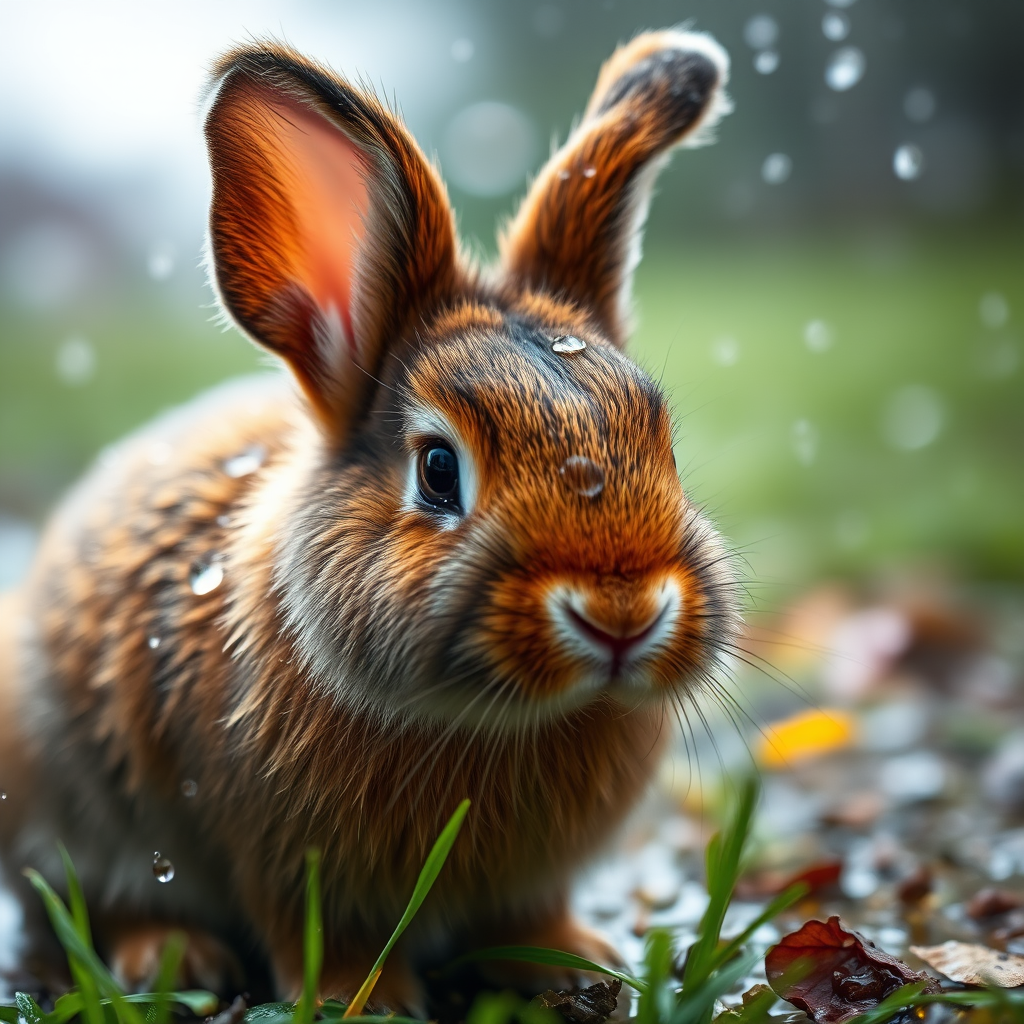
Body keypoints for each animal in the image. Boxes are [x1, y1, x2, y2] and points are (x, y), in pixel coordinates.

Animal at [0, 26, 738, 1014]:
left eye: (661, 439)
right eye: (437, 470)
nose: (619, 614)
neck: (492, 721)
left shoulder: (528, 879)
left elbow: (529, 915)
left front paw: (573, 960)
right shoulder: (281, 858)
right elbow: (315, 932)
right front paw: (367, 997)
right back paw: (172, 957)